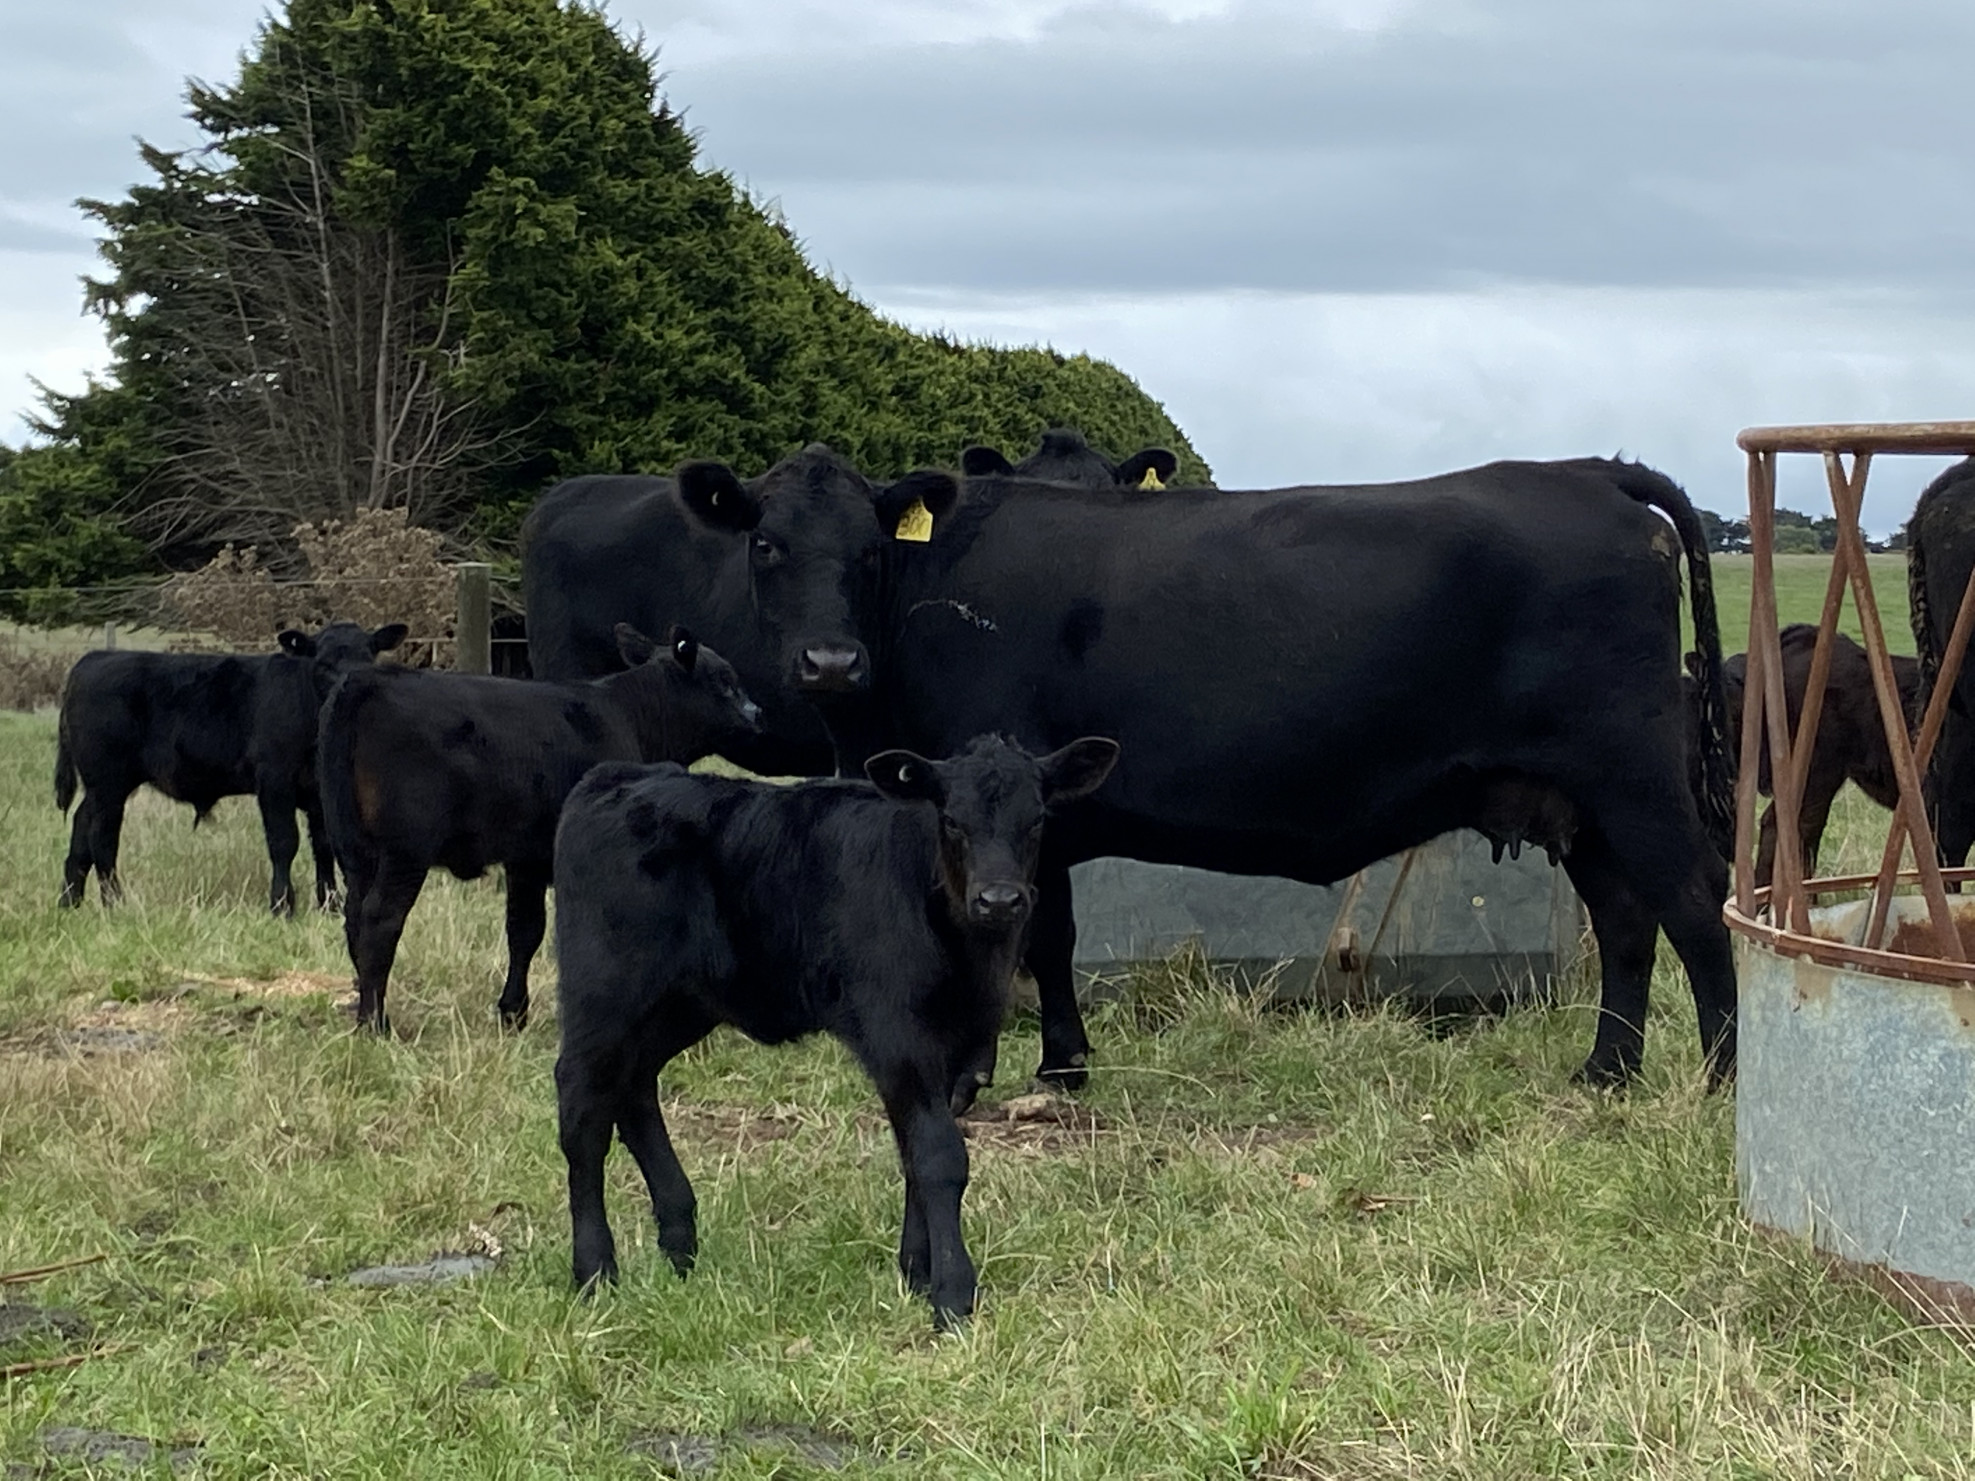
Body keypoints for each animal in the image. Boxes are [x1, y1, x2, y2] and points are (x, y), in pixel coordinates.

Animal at [53, 621, 408, 914]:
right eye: (323, 663)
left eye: (369, 658)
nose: (351, 687)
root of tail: (93, 659)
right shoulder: (274, 781)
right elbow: (284, 843)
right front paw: (282, 906)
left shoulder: (320, 793)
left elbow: (323, 847)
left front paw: (330, 906)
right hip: (108, 782)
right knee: (102, 837)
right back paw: (115, 904)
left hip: (102, 786)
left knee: (82, 826)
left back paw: (70, 901)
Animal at [317, 624, 762, 1034]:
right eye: (725, 682)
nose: (757, 713)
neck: (630, 717)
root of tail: (370, 680)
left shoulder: (525, 857)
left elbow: (523, 930)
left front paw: (512, 1013)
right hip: (404, 851)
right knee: (380, 922)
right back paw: (375, 1023)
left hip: (356, 850)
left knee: (355, 920)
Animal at [552, 733, 1121, 1329]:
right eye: (950, 819)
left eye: (1036, 819)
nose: (1000, 900)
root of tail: (619, 777)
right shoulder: (896, 1032)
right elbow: (938, 1154)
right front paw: (953, 1294)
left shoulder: (947, 1047)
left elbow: (914, 1153)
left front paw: (916, 1271)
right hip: (602, 991)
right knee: (583, 1108)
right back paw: (594, 1270)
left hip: (679, 1004)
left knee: (633, 1087)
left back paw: (679, 1244)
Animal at [669, 443, 1740, 1096]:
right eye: (764, 545)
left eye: (864, 552)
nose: (829, 662)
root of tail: (1587, 470)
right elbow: (1048, 937)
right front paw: (1063, 1065)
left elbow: (1029, 939)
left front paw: (1020, 1074)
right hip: (1578, 801)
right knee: (1626, 919)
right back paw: (1606, 1072)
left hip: (1633, 778)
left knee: (1693, 905)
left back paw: (1722, 1078)